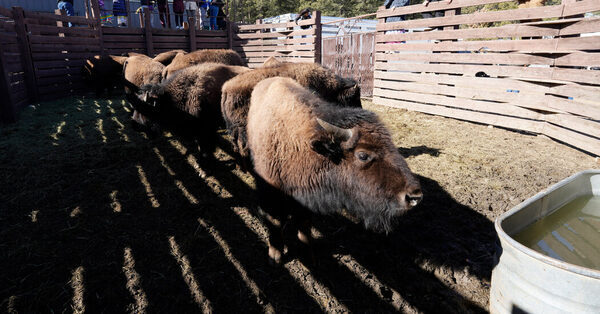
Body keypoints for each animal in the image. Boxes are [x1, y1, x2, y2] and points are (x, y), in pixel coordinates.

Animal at [247, 77, 422, 264]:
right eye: (363, 155)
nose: (414, 196)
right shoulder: (271, 194)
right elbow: (275, 222)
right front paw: (276, 257)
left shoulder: (306, 199)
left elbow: (304, 226)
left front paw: (309, 256)